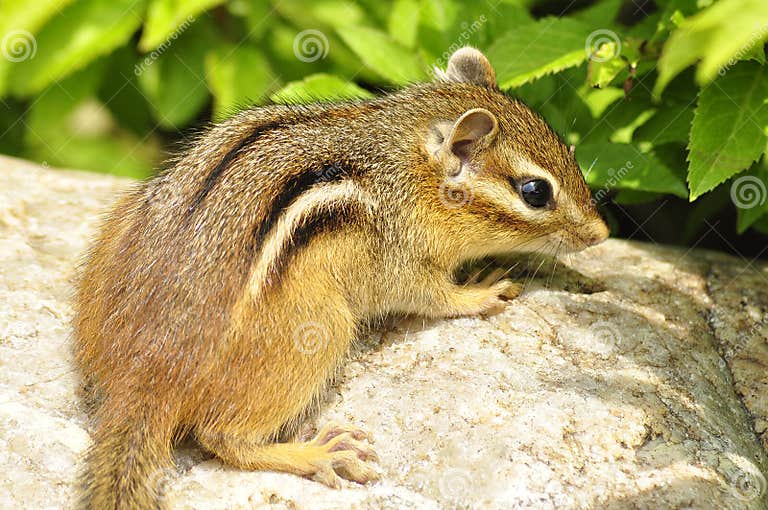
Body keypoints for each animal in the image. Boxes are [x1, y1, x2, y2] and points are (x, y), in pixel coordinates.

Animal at [72, 46, 608, 509]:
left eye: (568, 148)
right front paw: (480, 291)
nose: (601, 232)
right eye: (535, 192)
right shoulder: (400, 255)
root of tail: (144, 377)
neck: (407, 169)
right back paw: (316, 453)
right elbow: (432, 296)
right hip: (319, 329)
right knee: (222, 438)